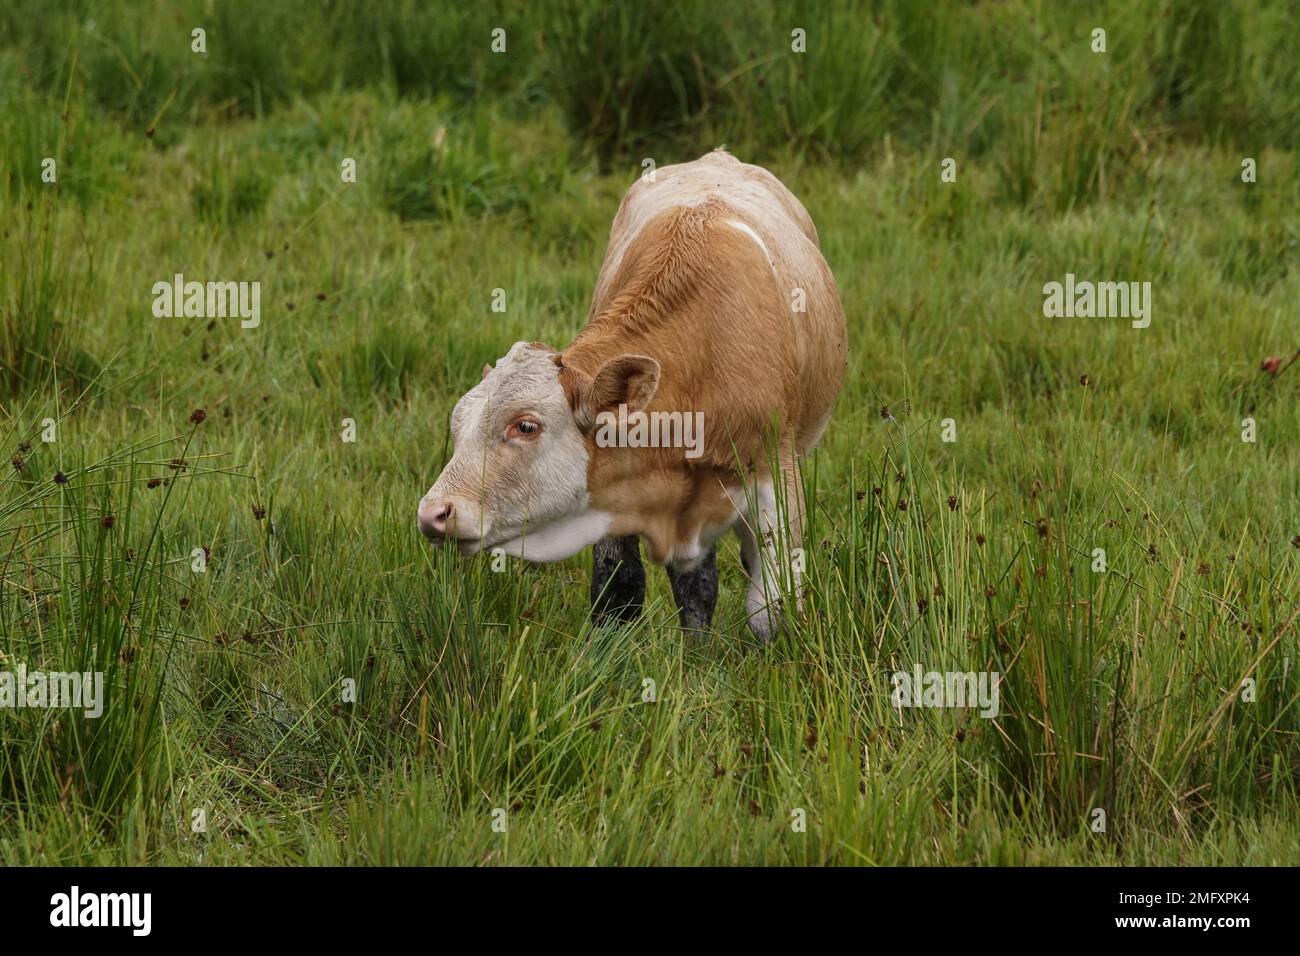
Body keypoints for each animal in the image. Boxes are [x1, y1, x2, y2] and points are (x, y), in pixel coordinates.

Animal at [418, 149, 847, 641]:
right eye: (456, 424)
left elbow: (769, 611)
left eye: (525, 425)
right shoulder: (612, 489)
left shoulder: (777, 479)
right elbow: (620, 591)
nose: (433, 513)